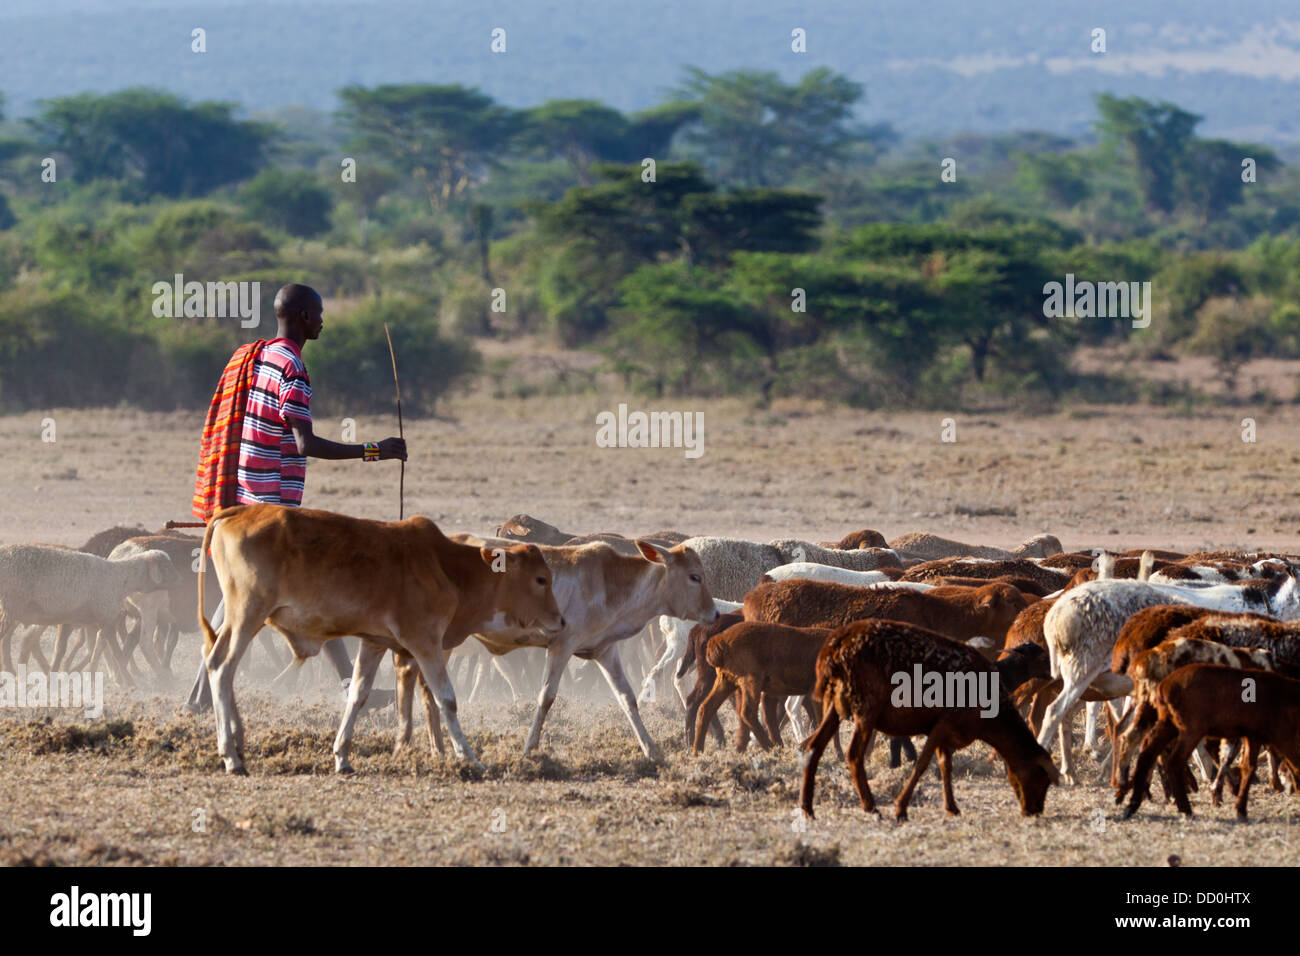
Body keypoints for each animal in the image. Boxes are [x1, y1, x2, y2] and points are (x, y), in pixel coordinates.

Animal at [197, 504, 564, 774]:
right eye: (540, 579)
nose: (560, 620)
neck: (446, 568)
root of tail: (236, 512)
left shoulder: (374, 642)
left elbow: (358, 694)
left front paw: (342, 756)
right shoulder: (425, 642)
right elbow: (446, 699)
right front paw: (469, 757)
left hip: (242, 620)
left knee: (221, 667)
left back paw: (238, 742)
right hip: (247, 614)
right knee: (221, 667)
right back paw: (230, 755)